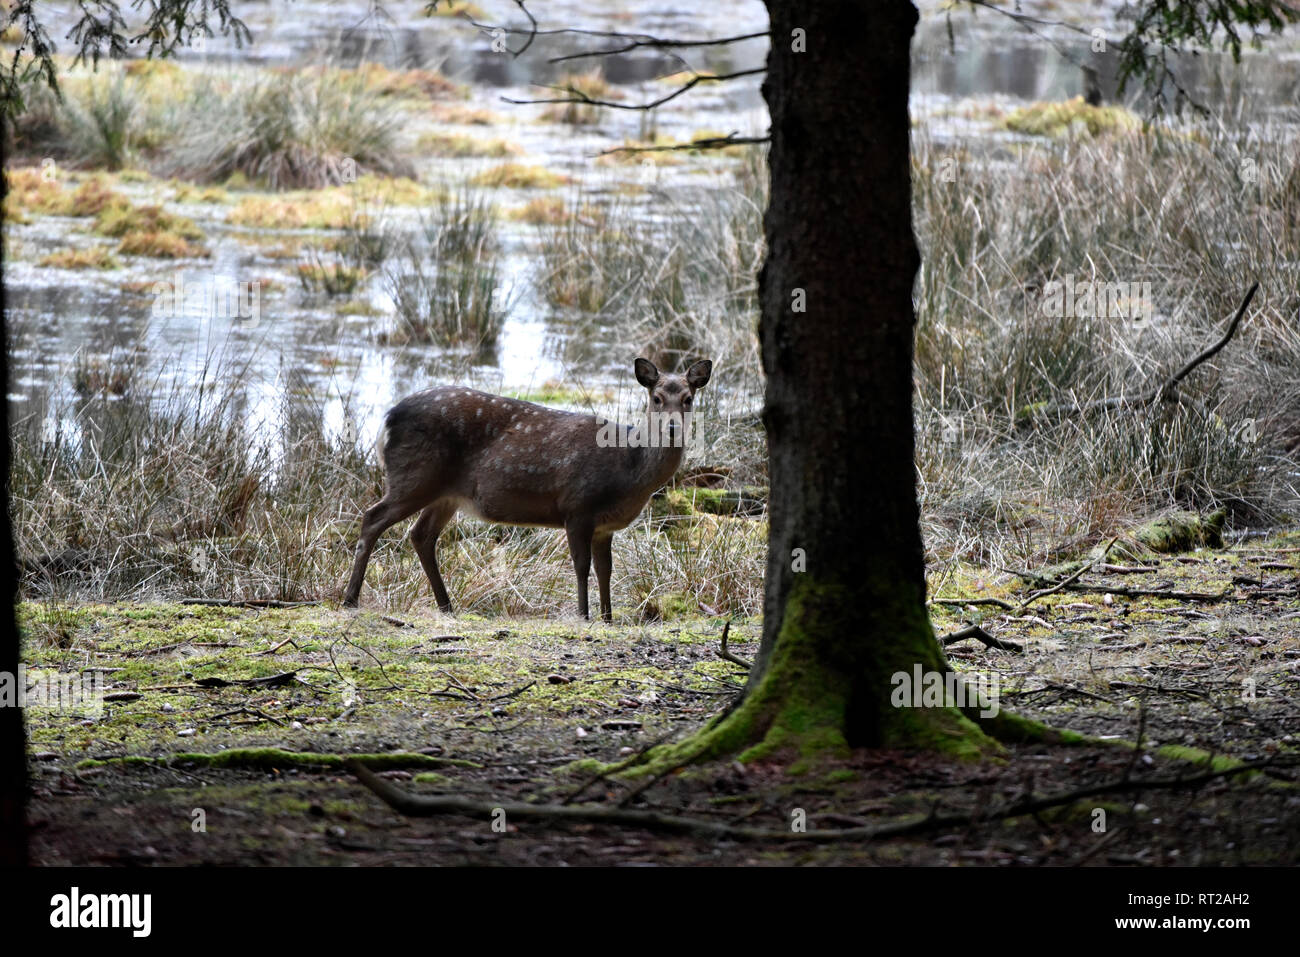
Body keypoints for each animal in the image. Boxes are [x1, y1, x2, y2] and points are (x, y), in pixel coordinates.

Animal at [342, 357, 712, 621]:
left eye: (688, 399)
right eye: (657, 398)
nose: (673, 428)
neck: (627, 472)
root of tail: (385, 421)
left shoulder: (604, 526)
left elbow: (606, 571)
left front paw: (607, 618)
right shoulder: (576, 506)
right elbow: (581, 566)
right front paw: (584, 616)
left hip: (446, 494)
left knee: (420, 535)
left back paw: (447, 606)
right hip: (415, 477)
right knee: (372, 518)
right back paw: (350, 599)